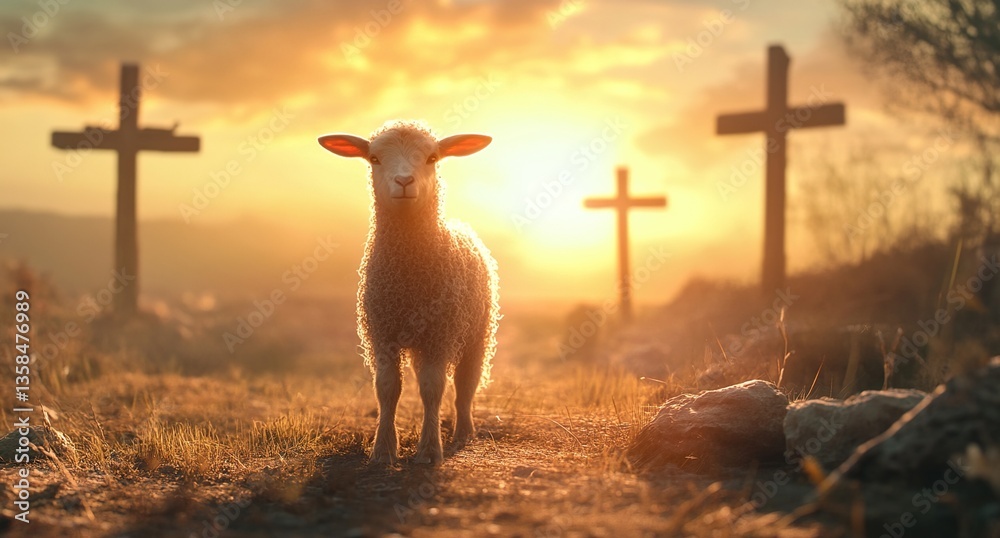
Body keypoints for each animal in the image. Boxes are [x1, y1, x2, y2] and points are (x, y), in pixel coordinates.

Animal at [318, 120, 499, 465]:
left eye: (432, 158)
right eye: (374, 158)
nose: (403, 181)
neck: (408, 277)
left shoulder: (440, 334)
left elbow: (432, 388)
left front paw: (428, 451)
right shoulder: (382, 332)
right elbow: (387, 388)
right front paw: (383, 450)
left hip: (477, 333)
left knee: (466, 384)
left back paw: (464, 433)